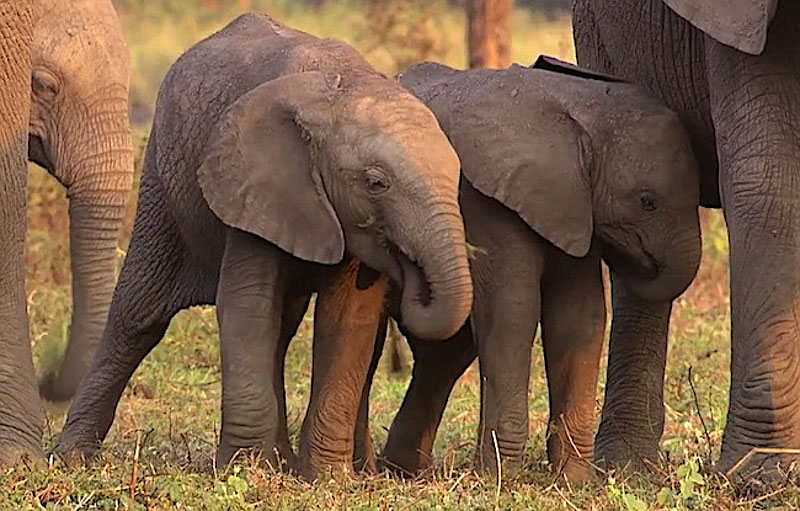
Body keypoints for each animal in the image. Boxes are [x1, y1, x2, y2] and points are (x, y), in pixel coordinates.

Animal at [56, 14, 473, 480]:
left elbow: (348, 318)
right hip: (161, 181)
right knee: (138, 315)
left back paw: (283, 462)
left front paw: (327, 478)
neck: (339, 91)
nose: (408, 269)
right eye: (376, 182)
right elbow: (247, 306)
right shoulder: (253, 183)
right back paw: (73, 459)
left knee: (281, 328)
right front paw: (244, 471)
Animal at [361, 59, 701, 482]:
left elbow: (579, 317)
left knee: (444, 354)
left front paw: (573, 481)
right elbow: (513, 311)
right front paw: (500, 481)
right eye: (647, 202)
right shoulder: (485, 202)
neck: (576, 109)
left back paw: (401, 472)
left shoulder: (573, 206)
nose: (640, 261)